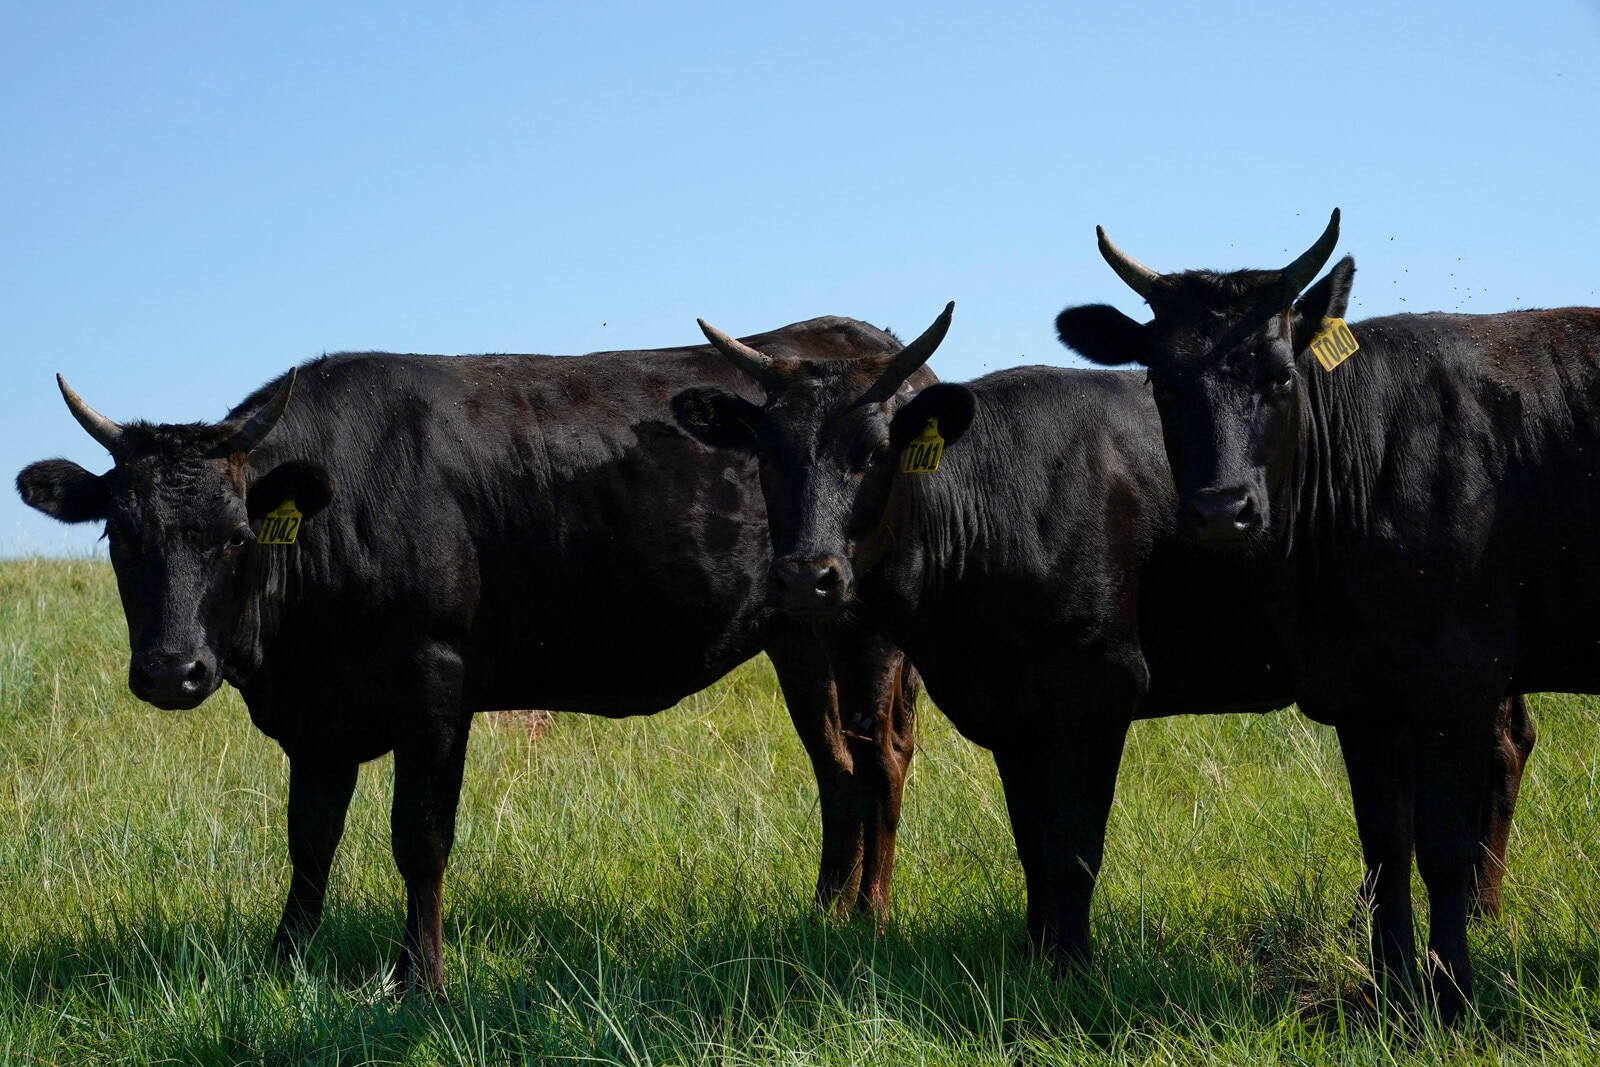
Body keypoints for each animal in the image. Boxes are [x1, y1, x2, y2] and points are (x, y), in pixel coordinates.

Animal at [15, 317, 930, 991]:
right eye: (120, 535)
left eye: (238, 536)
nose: (174, 671)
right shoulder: (320, 715)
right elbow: (309, 839)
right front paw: (280, 962)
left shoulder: (434, 686)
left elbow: (418, 837)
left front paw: (421, 979)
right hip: (797, 637)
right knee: (836, 766)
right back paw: (822, 916)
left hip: (869, 630)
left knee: (879, 759)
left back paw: (871, 921)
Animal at [671, 304, 1534, 977]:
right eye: (768, 454)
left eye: (876, 452)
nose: (807, 576)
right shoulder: (1009, 709)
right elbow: (1033, 843)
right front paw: (1034, 952)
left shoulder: (1102, 687)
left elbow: (1075, 843)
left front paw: (1075, 967)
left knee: (1498, 748)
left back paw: (1482, 910)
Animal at [1054, 210, 1591, 1020]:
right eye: (1162, 379)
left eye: (1280, 373)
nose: (1222, 508)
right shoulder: (1360, 692)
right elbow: (1385, 850)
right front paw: (1392, 995)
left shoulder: (1459, 677)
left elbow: (1439, 844)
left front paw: (1450, 997)